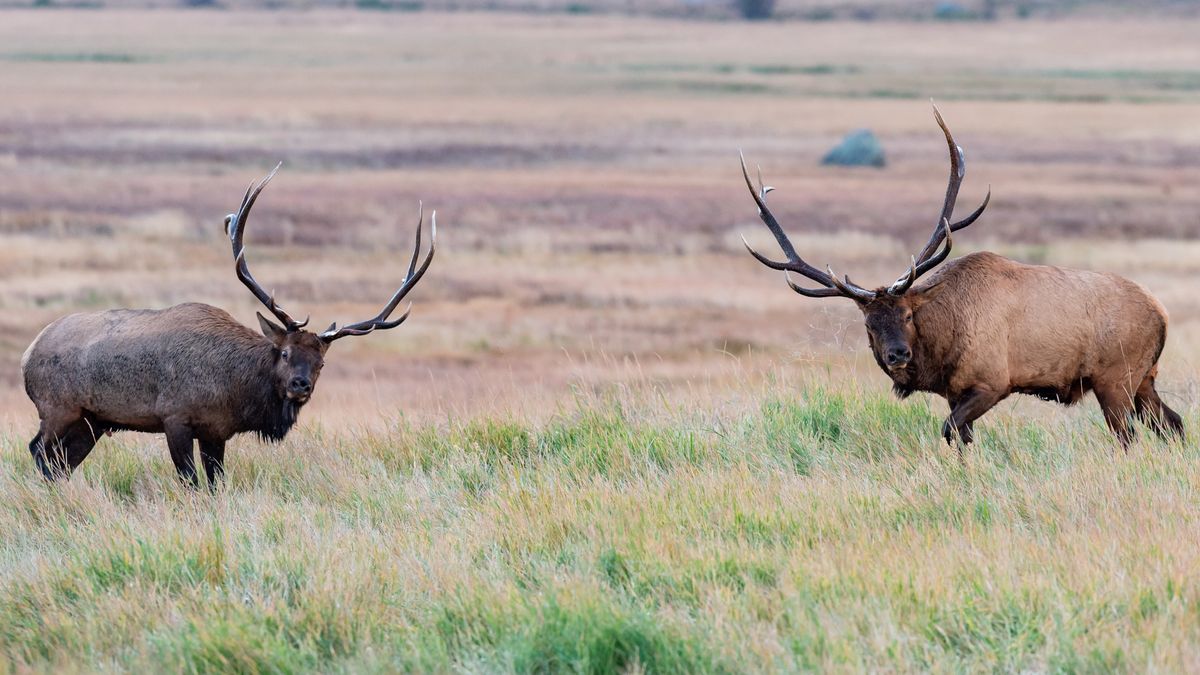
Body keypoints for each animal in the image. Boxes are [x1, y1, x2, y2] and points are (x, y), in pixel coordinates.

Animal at [22, 165, 436, 487]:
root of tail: (27, 354)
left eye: (322, 362)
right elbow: (190, 481)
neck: (234, 388)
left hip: (91, 421)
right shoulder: (174, 416)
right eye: (284, 353)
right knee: (38, 451)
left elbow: (215, 483)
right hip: (57, 407)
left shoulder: (216, 431)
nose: (300, 385)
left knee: (62, 464)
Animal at [740, 106, 1183, 453]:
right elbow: (962, 436)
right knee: (1174, 424)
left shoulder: (993, 381)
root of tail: (1162, 314)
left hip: (1116, 377)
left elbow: (950, 431)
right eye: (868, 323)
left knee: (1129, 437)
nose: (897, 355)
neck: (942, 346)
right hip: (1144, 378)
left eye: (907, 315)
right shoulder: (956, 392)